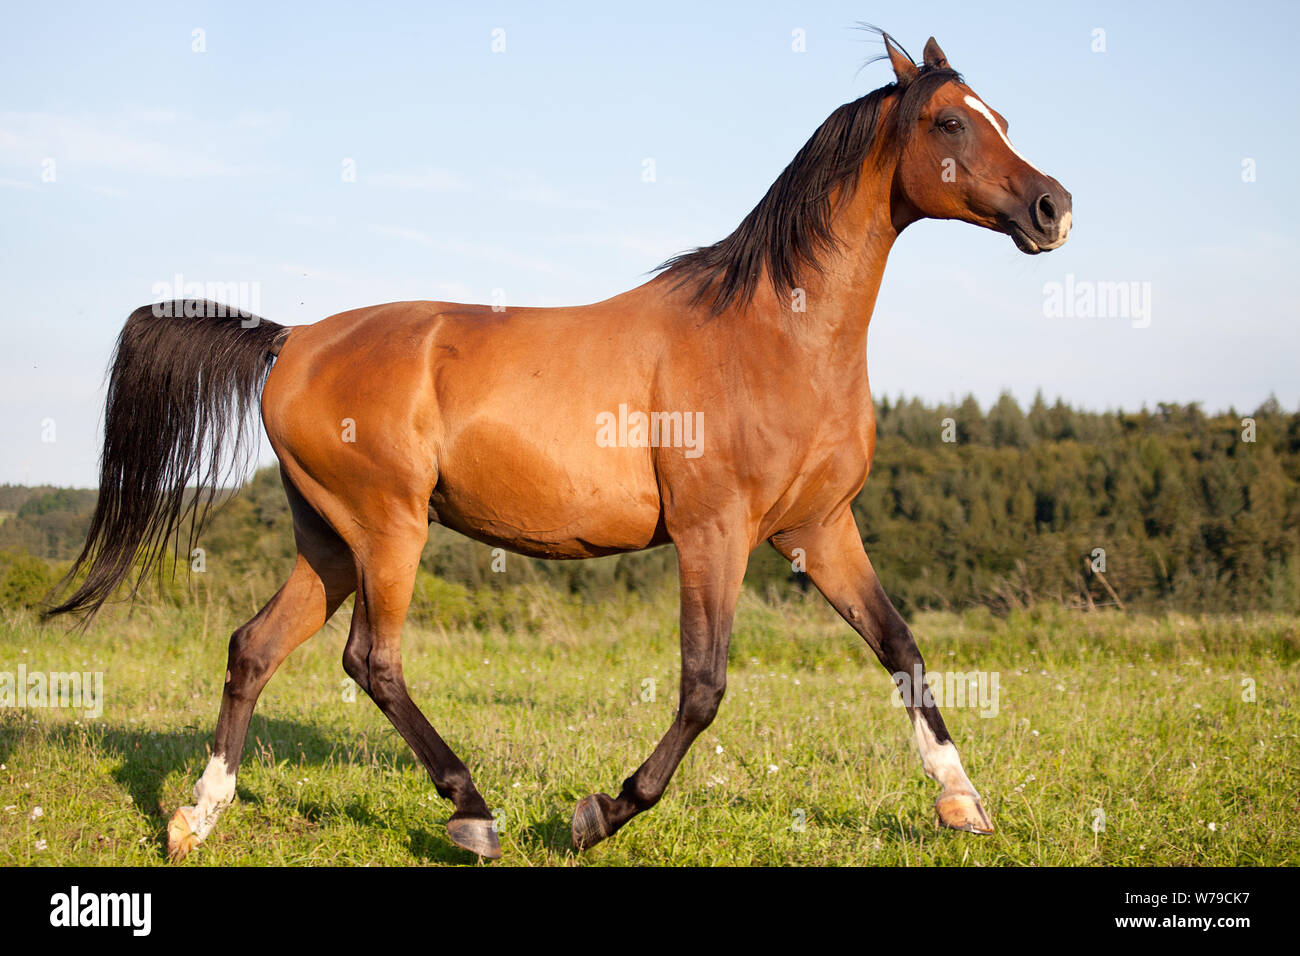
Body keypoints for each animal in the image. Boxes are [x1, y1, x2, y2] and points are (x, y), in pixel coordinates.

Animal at [47, 32, 1072, 862]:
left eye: (1002, 116)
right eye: (948, 120)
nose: (1052, 207)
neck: (774, 332)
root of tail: (290, 338)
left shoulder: (819, 531)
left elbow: (903, 649)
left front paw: (963, 804)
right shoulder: (714, 534)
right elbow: (703, 688)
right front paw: (596, 814)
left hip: (329, 540)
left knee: (254, 648)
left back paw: (193, 822)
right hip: (387, 529)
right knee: (370, 662)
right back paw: (471, 813)